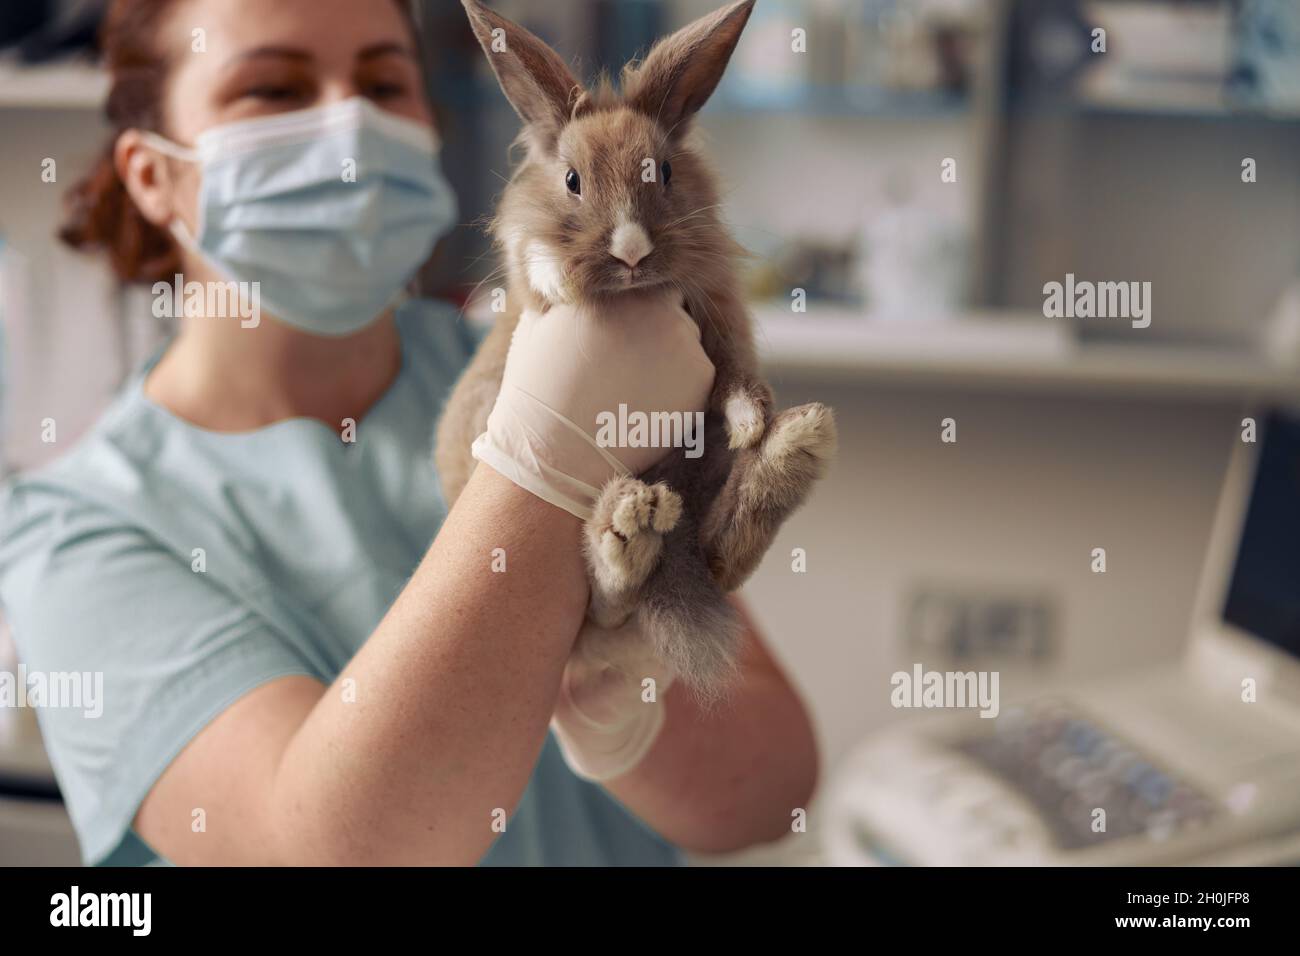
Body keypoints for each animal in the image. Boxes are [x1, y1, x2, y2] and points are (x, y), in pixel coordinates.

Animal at [437, 0, 837, 703]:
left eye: (666, 172)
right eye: (572, 180)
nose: (630, 250)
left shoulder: (721, 313)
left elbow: (736, 373)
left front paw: (749, 421)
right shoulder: (520, 282)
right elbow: (532, 267)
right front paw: (557, 279)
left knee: (712, 556)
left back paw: (784, 450)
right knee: (608, 601)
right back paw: (631, 526)